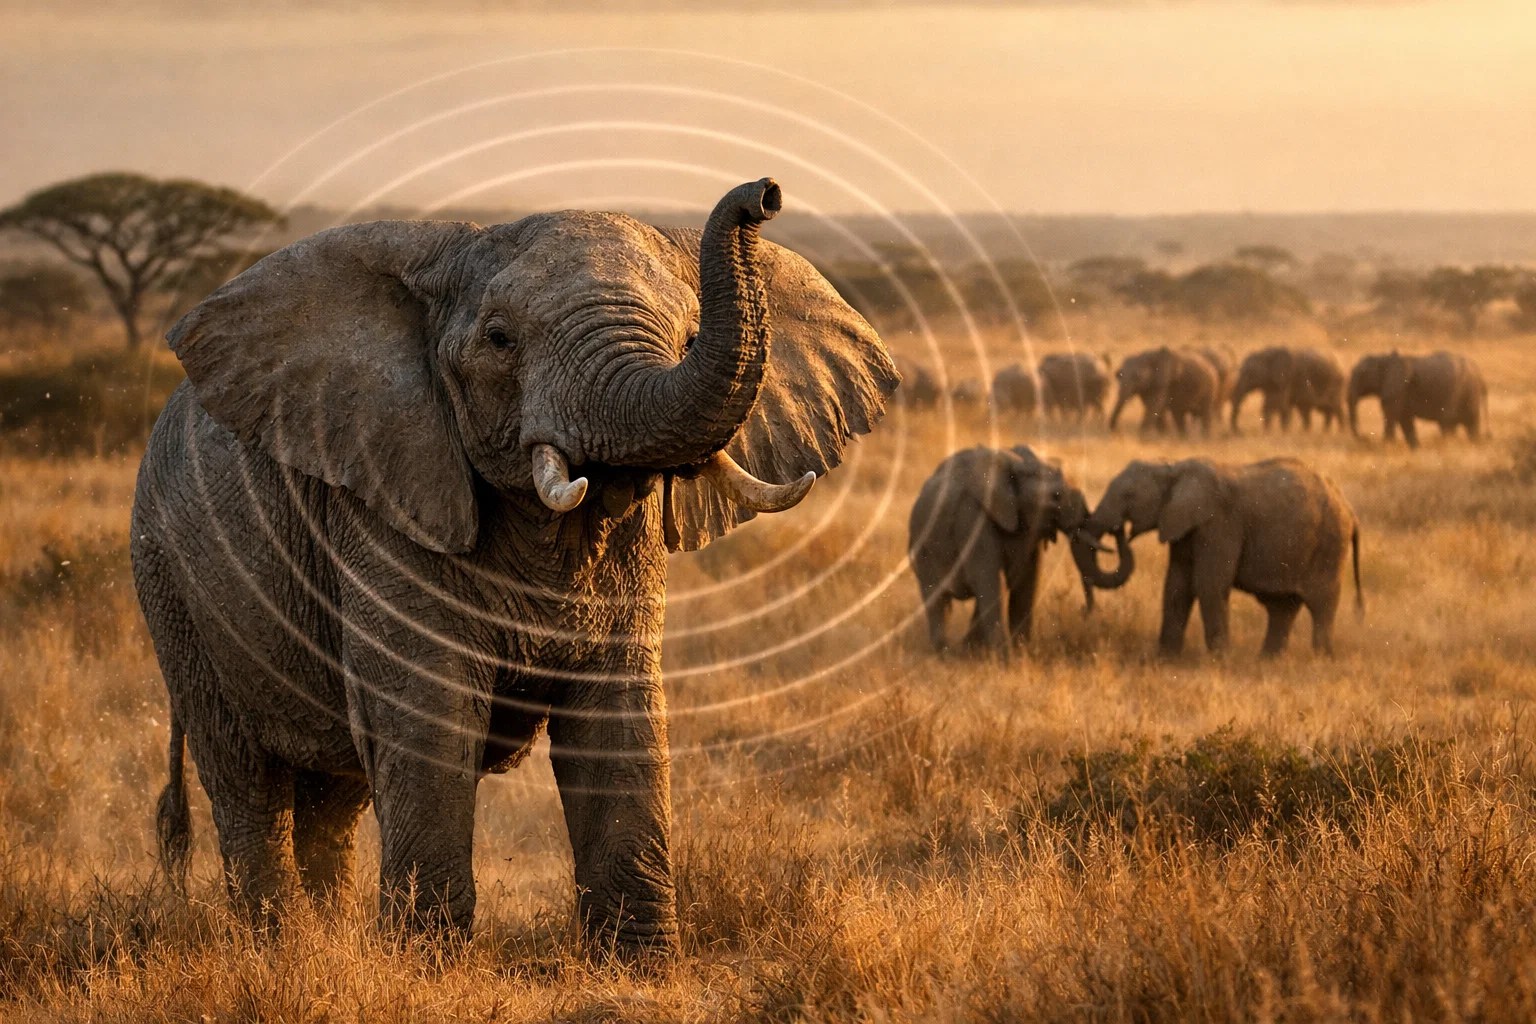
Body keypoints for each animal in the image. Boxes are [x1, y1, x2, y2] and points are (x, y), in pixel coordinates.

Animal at [129, 179, 898, 955]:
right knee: (246, 779)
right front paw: (429, 967)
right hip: (170, 583)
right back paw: (278, 947)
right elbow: (430, 723)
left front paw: (641, 966)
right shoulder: (384, 499)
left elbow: (619, 727)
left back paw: (328, 940)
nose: (763, 195)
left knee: (333, 792)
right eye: (500, 340)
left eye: (688, 337)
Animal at [908, 445, 1104, 657]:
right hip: (923, 549)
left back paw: (966, 649)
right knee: (937, 598)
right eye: (1056, 497)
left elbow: (1026, 582)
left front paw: (1022, 653)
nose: (1083, 610)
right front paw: (1005, 659)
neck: (1019, 464)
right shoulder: (971, 518)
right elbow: (990, 579)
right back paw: (946, 655)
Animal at [1072, 457, 1362, 657]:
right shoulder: (1184, 527)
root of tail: (1350, 510)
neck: (1173, 468)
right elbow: (1176, 585)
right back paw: (1267, 661)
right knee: (1283, 607)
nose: (1119, 531)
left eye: (1129, 495)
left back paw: (1320, 659)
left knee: (1321, 605)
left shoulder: (1218, 524)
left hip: (1329, 546)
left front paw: (1219, 661)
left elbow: (1208, 584)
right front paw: (1165, 659)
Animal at [1347, 350, 1488, 447]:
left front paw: (1386, 445)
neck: (1383, 357)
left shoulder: (1397, 388)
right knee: (1468, 426)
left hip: (1463, 393)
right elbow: (1405, 419)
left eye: (1361, 374)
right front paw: (1415, 448)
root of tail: (1480, 375)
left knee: (1451, 423)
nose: (1365, 438)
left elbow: (1392, 415)